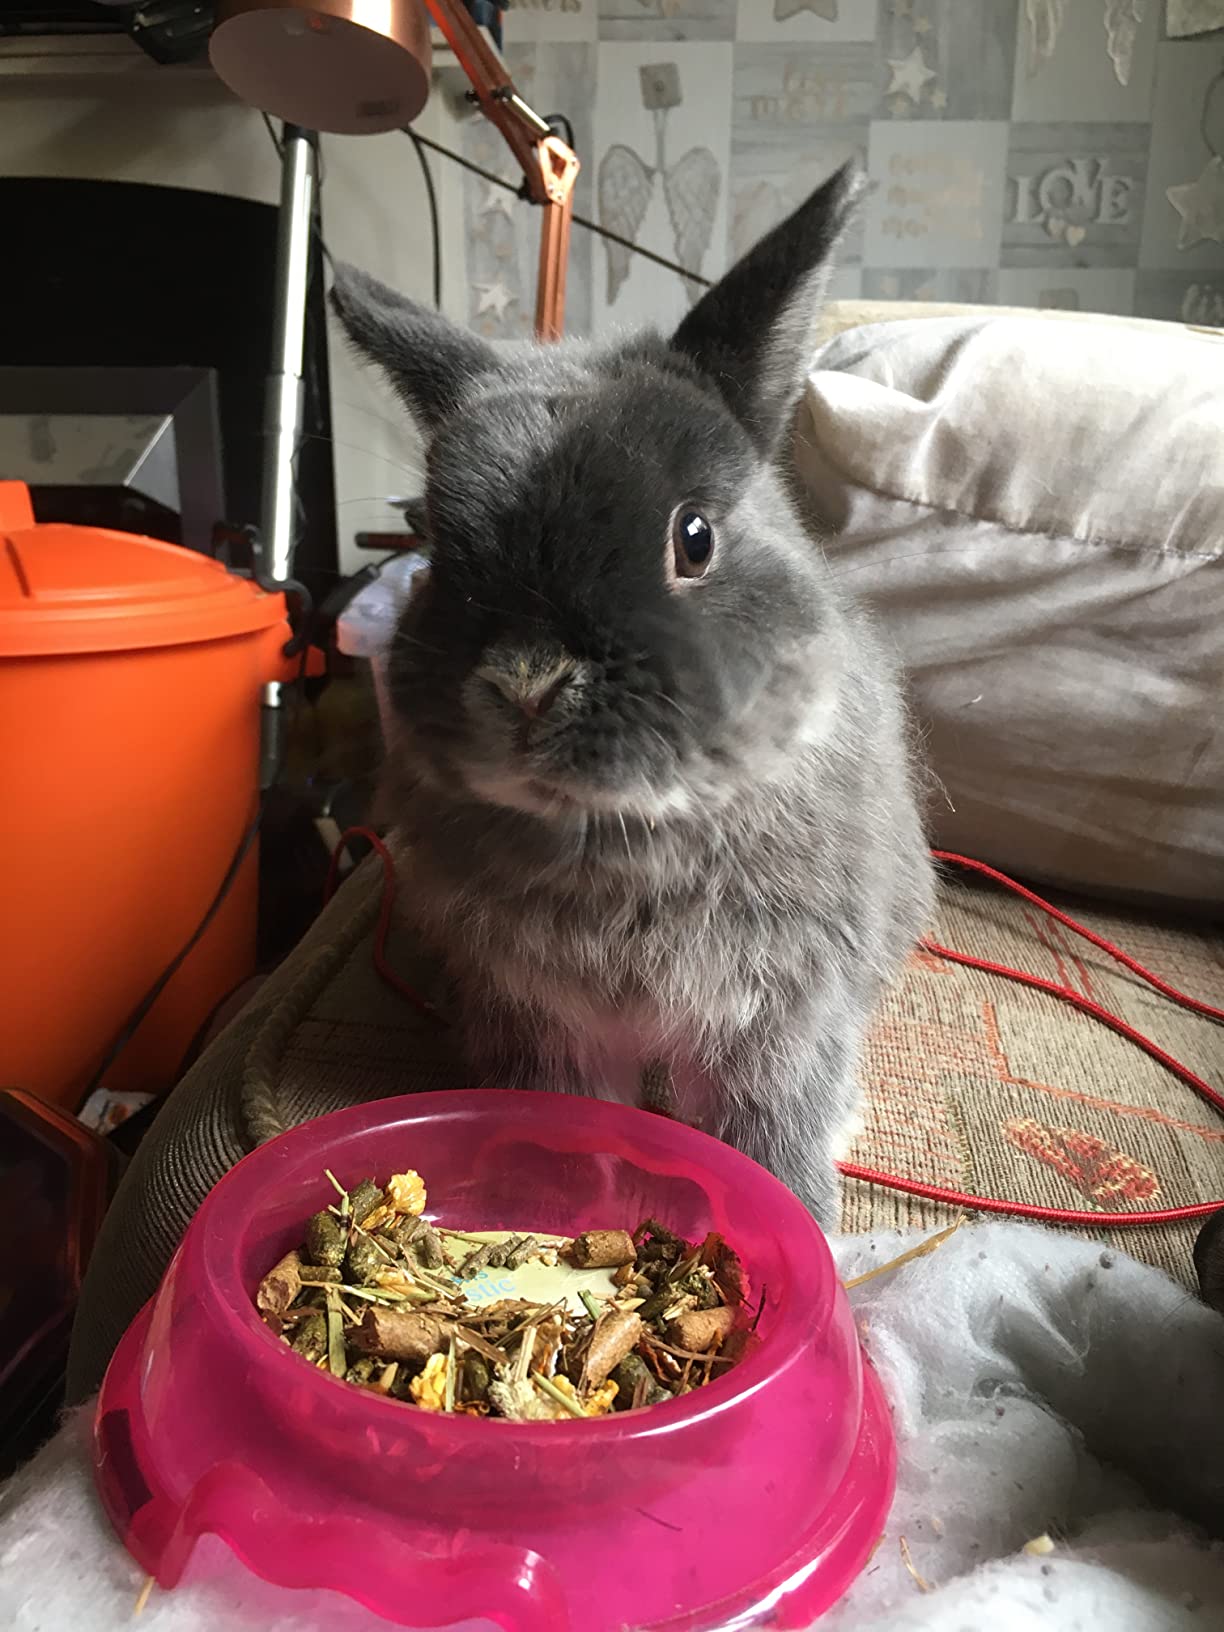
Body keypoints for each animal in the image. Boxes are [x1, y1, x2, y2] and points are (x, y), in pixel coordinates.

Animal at [330, 163, 934, 1225]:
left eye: (694, 539)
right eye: (439, 551)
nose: (526, 687)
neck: (610, 835)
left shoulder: (781, 1017)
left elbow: (766, 1132)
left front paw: (802, 1219)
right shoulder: (540, 1018)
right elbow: (571, 1117)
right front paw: (551, 1206)